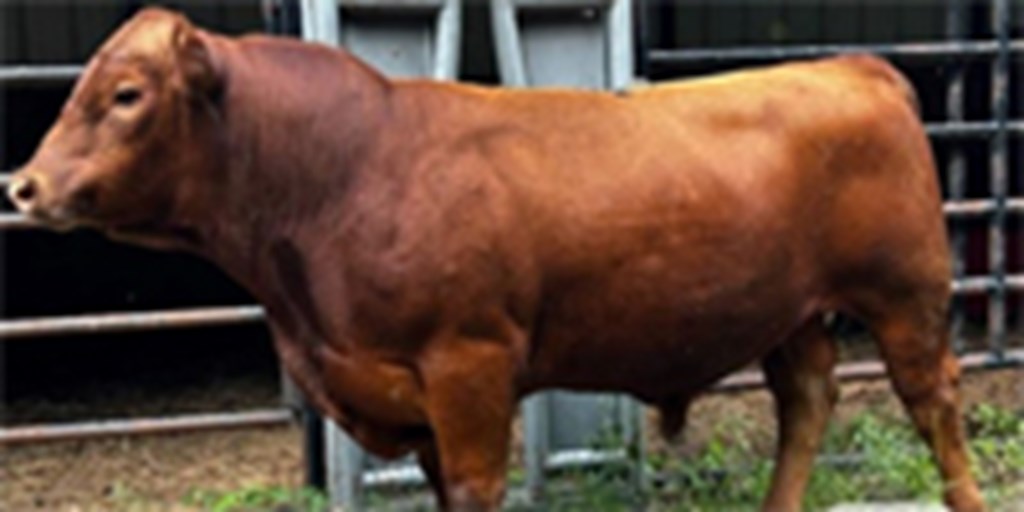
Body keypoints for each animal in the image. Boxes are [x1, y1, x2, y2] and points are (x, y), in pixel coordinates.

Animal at [7, 8, 985, 512]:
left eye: (127, 94)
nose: (24, 185)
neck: (344, 171)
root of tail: (854, 66)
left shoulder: (468, 369)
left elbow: (479, 489)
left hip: (907, 295)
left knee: (935, 405)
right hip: (788, 313)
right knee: (807, 403)